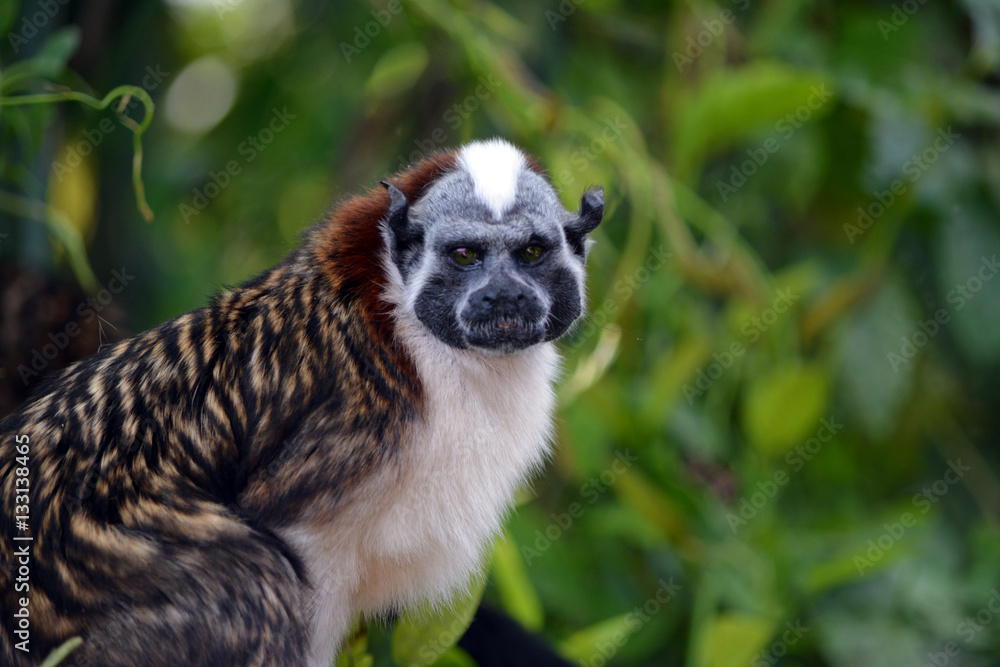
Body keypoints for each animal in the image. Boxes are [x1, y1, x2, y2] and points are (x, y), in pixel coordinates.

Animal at [0, 138, 604, 667]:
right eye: (465, 256)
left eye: (531, 253)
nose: (504, 296)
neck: (409, 329)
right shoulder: (357, 425)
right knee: (253, 581)